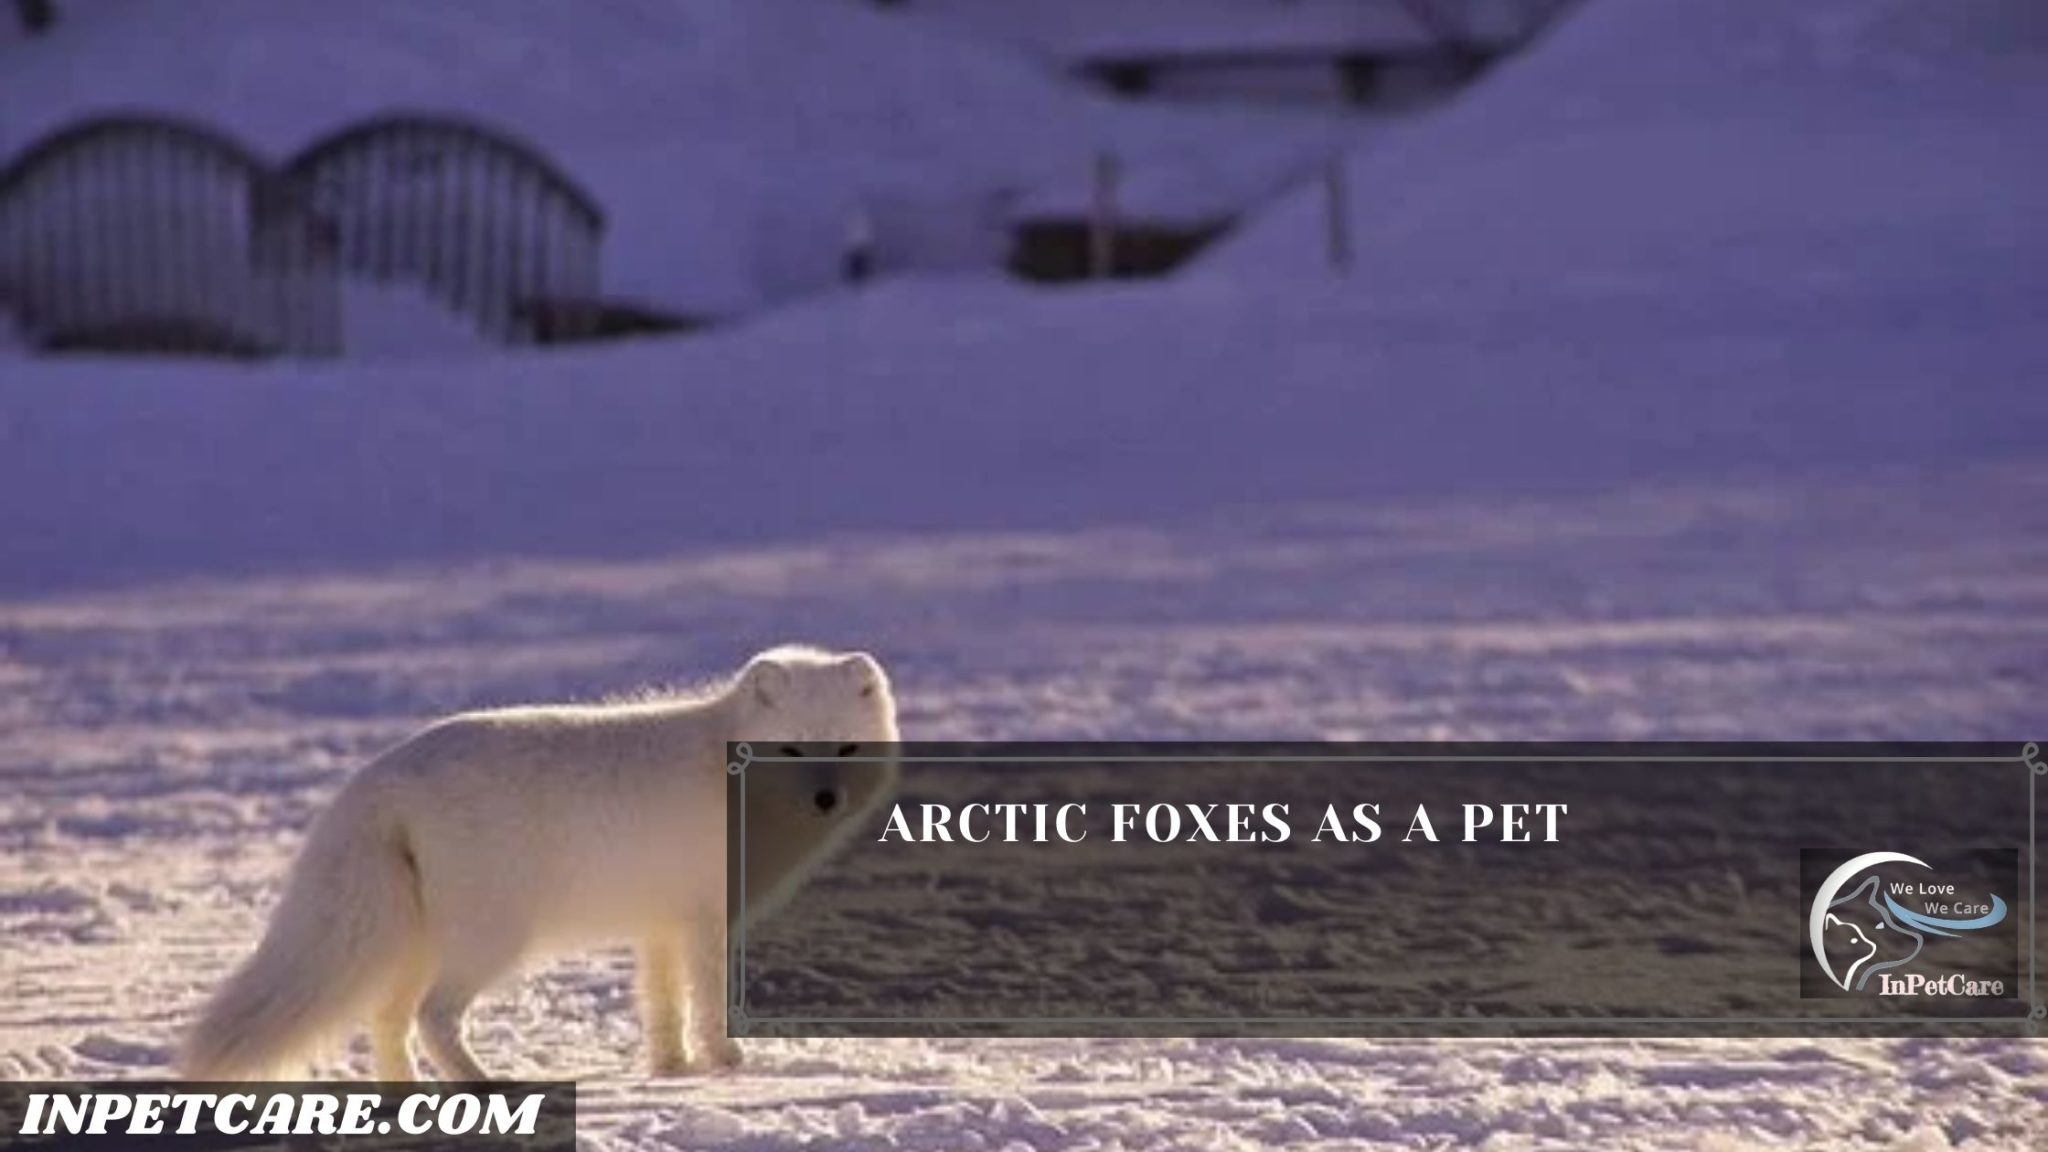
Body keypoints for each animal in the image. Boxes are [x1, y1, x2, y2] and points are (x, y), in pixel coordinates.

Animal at [176, 644, 902, 1082]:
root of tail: (381, 778)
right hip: (491, 937)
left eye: (845, 747)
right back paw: (483, 1088)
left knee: (386, 1020)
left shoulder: (661, 924)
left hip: (413, 940)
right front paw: (725, 1062)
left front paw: (672, 1070)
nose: (826, 798)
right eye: (789, 748)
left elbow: (663, 1002)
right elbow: (705, 998)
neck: (724, 771)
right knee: (432, 1017)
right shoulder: (703, 920)